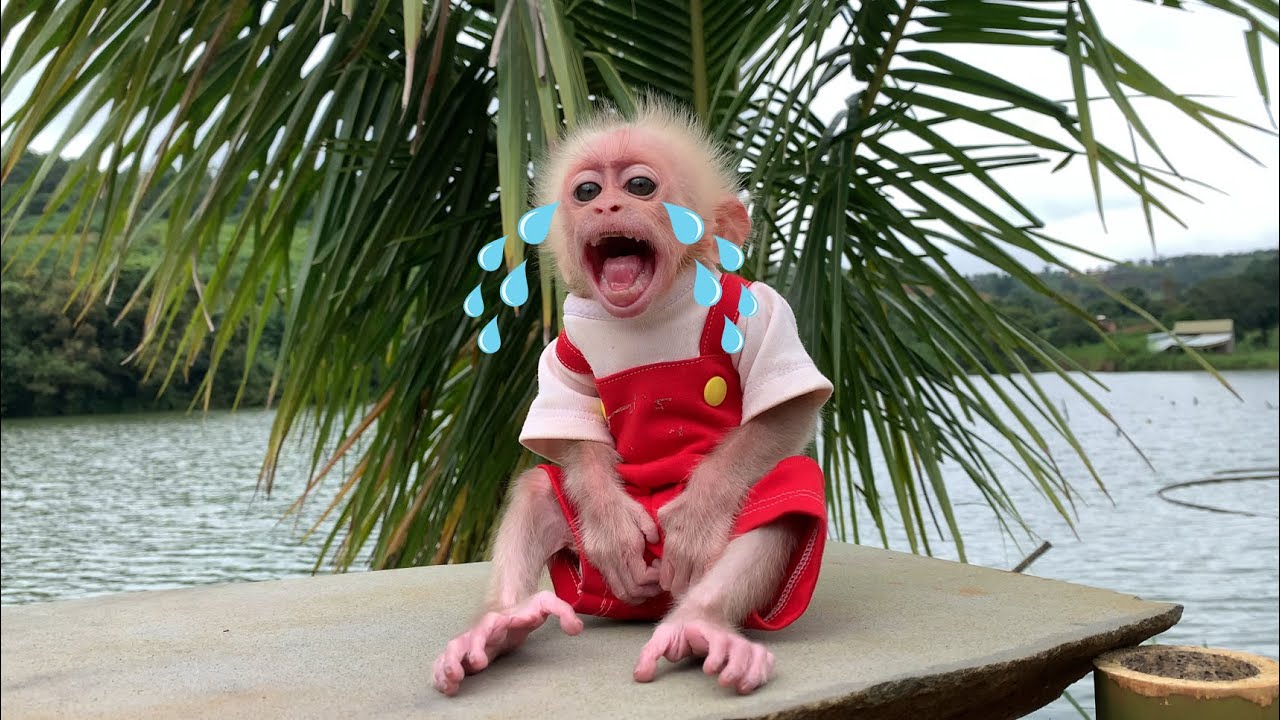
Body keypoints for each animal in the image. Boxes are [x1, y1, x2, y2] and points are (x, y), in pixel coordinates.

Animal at [432, 97, 832, 697]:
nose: (607, 205)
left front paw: (696, 518)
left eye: (640, 185)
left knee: (788, 489)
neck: (655, 314)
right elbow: (572, 439)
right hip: (593, 582)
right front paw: (611, 528)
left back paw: (700, 624)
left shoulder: (761, 310)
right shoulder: (565, 347)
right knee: (539, 489)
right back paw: (500, 624)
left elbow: (782, 414)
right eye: (586, 191)